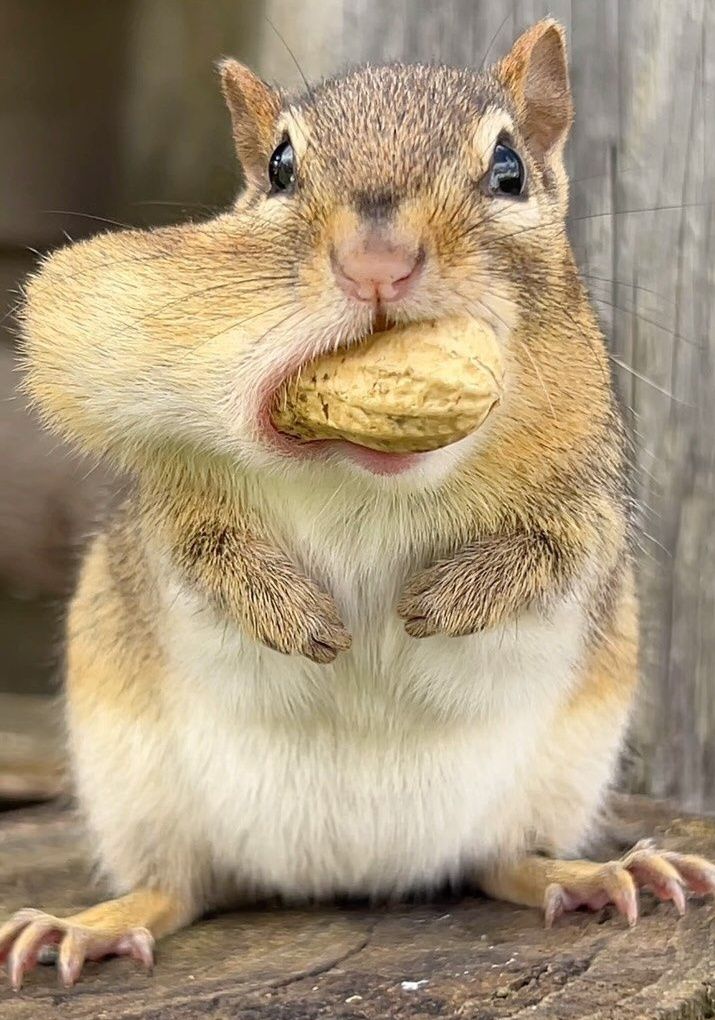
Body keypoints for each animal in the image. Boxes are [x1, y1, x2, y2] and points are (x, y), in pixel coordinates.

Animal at [3, 18, 714, 991]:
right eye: (277, 167)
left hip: (557, 775)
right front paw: (298, 615)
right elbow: (201, 550)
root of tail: (351, 876)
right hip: (136, 789)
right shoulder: (173, 493)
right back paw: (94, 923)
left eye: (508, 169)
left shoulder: (587, 487)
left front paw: (441, 601)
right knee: (173, 888)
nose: (377, 264)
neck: (372, 476)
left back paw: (595, 873)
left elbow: (554, 548)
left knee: (505, 861)